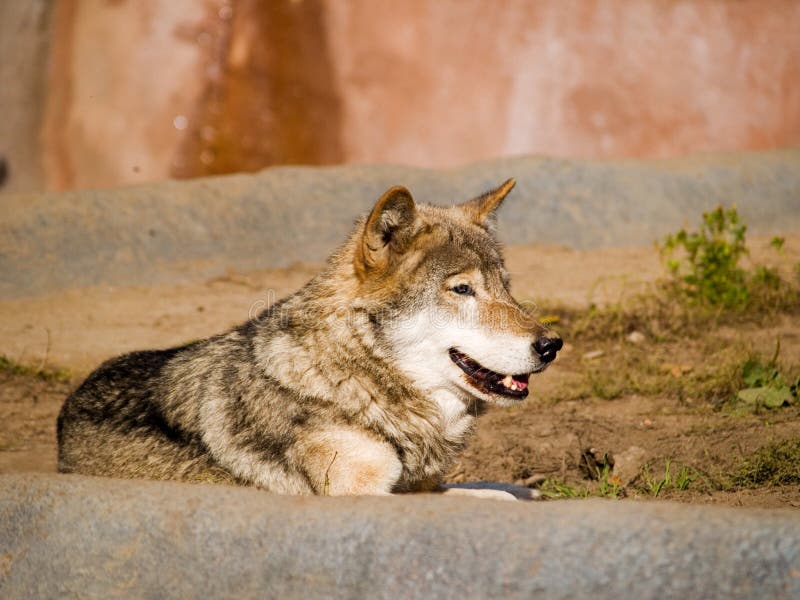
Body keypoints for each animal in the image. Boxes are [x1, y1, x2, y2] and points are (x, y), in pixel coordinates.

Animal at [57, 179, 562, 495]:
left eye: (506, 287)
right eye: (462, 289)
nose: (551, 345)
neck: (359, 381)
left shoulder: (423, 485)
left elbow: (491, 493)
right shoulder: (359, 492)